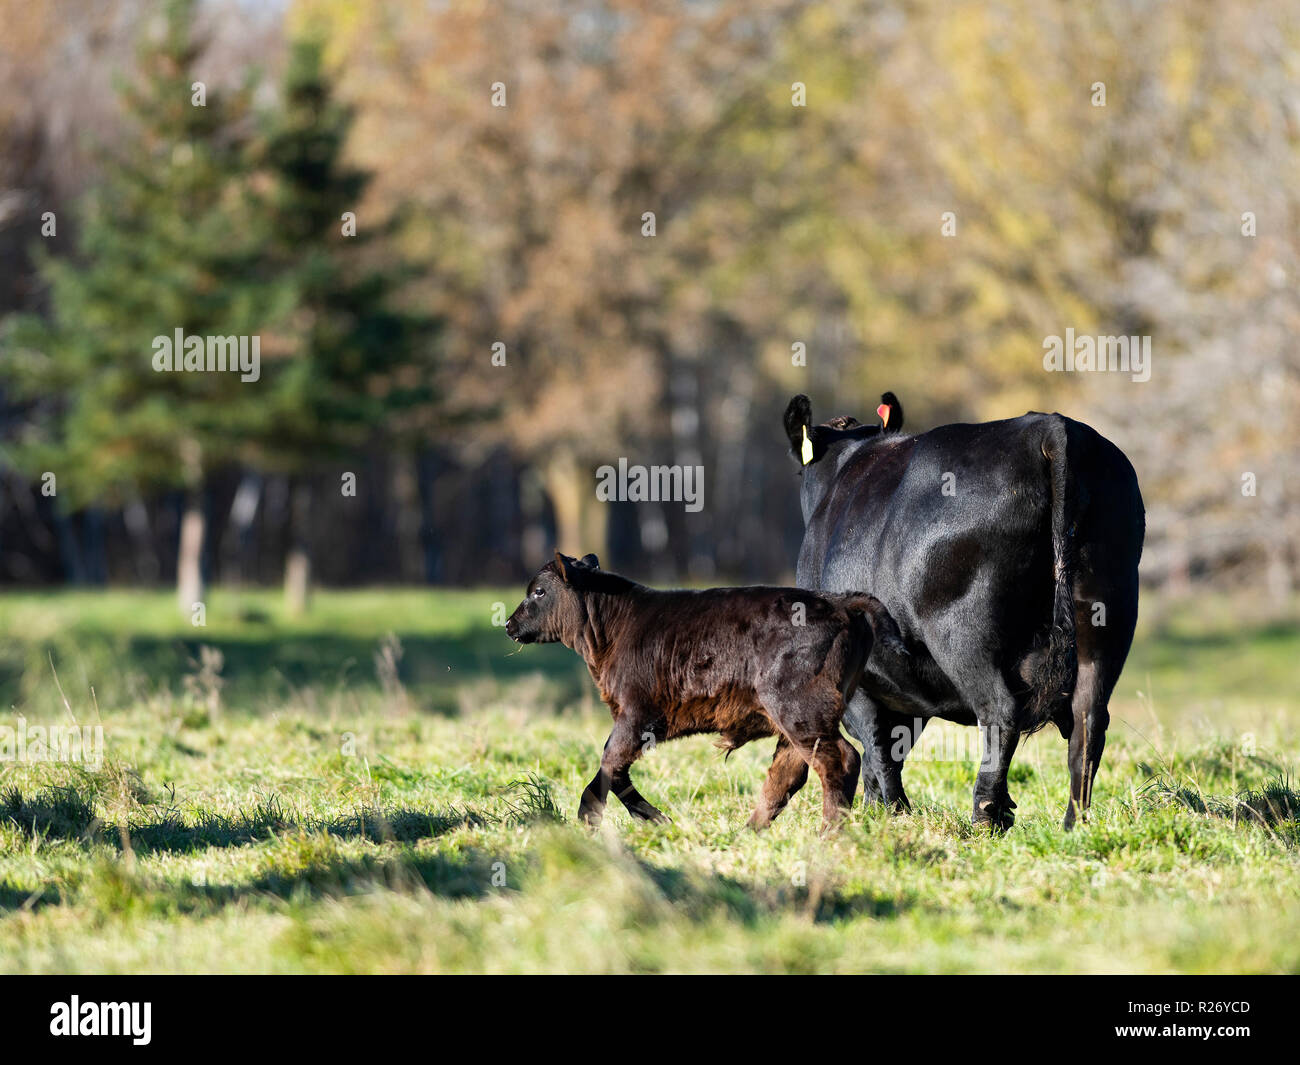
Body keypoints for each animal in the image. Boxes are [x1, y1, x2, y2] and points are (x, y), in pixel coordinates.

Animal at [505, 552, 904, 830]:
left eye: (539, 591)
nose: (508, 624)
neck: (611, 629)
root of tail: (838, 600)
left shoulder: (636, 716)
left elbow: (609, 767)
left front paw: (607, 817)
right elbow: (610, 773)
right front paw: (643, 819)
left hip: (801, 709)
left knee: (840, 760)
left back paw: (829, 832)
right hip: (795, 719)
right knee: (788, 772)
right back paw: (748, 832)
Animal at [783, 392, 1145, 829]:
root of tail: (1050, 428)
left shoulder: (860, 681)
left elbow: (877, 746)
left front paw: (892, 814)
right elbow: (887, 750)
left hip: (962, 633)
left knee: (1000, 712)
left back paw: (987, 817)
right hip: (1107, 615)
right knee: (1089, 720)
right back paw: (1073, 826)